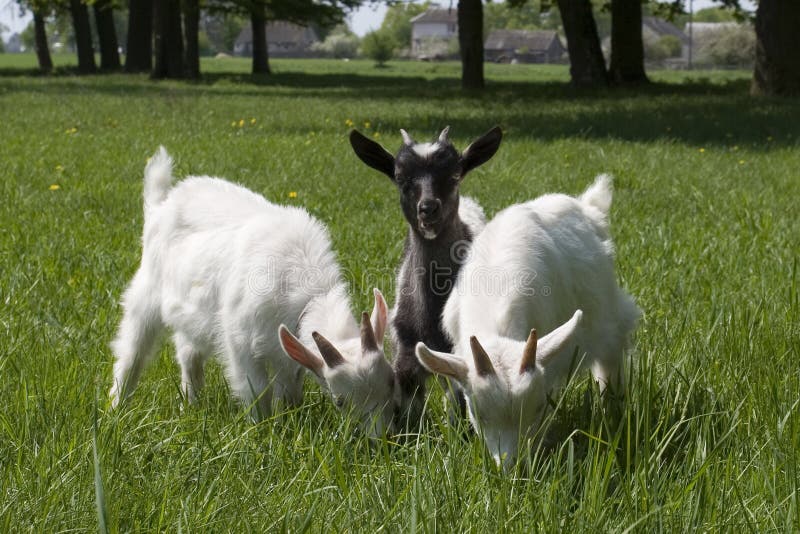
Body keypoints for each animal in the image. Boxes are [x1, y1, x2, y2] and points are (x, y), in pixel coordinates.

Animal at [110, 147, 395, 431]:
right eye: (340, 401)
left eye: (392, 381)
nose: (382, 438)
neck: (309, 294)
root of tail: (161, 205)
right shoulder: (240, 340)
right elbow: (257, 390)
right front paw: (261, 427)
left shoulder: (284, 349)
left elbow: (289, 390)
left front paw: (287, 420)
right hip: (146, 292)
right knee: (132, 352)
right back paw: (117, 406)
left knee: (189, 354)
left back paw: (190, 405)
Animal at [350, 126, 503, 426]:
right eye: (400, 178)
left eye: (454, 175)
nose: (428, 209)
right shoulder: (407, 359)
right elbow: (410, 414)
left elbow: (458, 402)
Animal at [415, 175, 641, 467]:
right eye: (478, 414)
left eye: (538, 408)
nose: (510, 466)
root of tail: (587, 205)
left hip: (608, 314)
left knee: (610, 355)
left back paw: (612, 408)